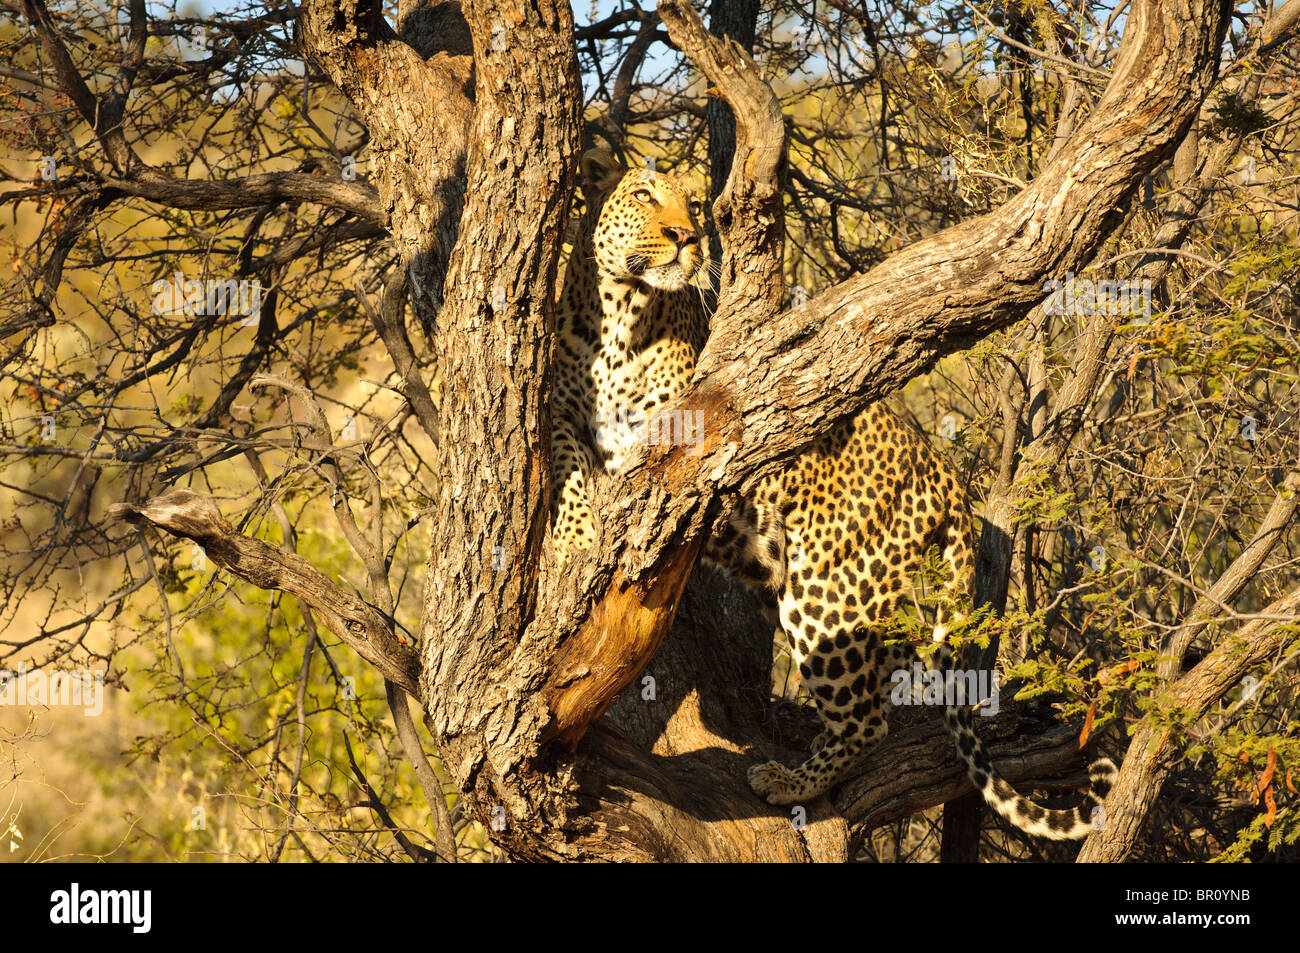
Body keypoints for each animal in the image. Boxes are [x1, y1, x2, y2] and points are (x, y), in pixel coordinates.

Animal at [550, 147, 1115, 839]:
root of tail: (947, 476)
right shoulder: (562, 412)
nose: (685, 236)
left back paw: (789, 780)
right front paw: (575, 534)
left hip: (827, 594)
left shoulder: (684, 442)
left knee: (867, 718)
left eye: (694, 202)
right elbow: (570, 466)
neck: (621, 313)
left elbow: (640, 482)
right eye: (644, 196)